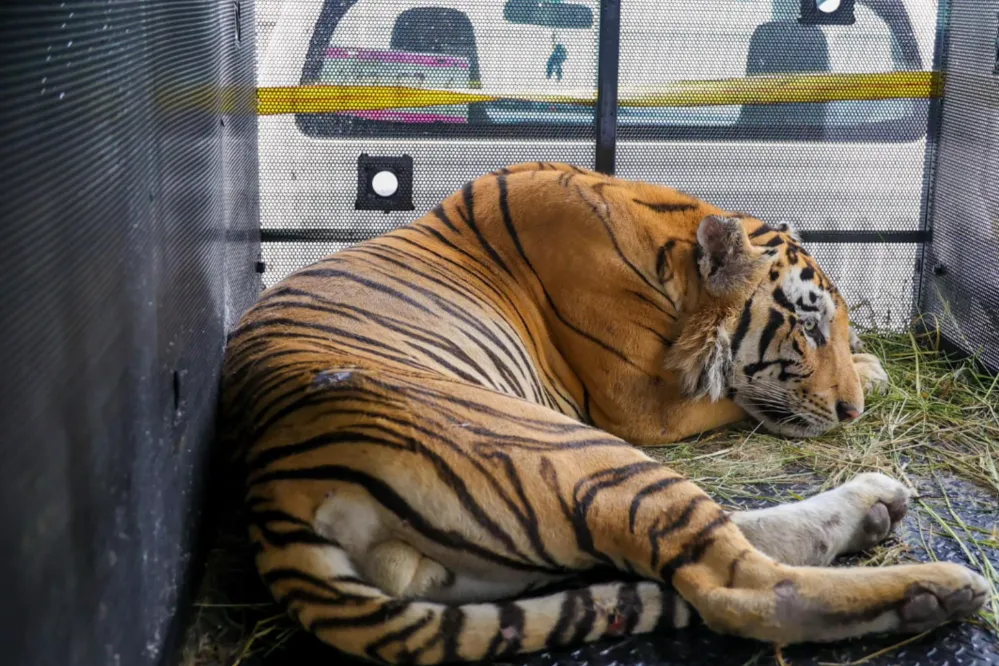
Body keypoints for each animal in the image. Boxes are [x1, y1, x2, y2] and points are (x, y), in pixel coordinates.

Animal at [220, 161, 987, 664]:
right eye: (807, 326)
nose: (850, 411)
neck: (667, 249)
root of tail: (272, 493)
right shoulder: (639, 405)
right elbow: (736, 399)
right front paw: (873, 373)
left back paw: (875, 505)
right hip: (568, 444)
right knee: (741, 588)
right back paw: (936, 589)